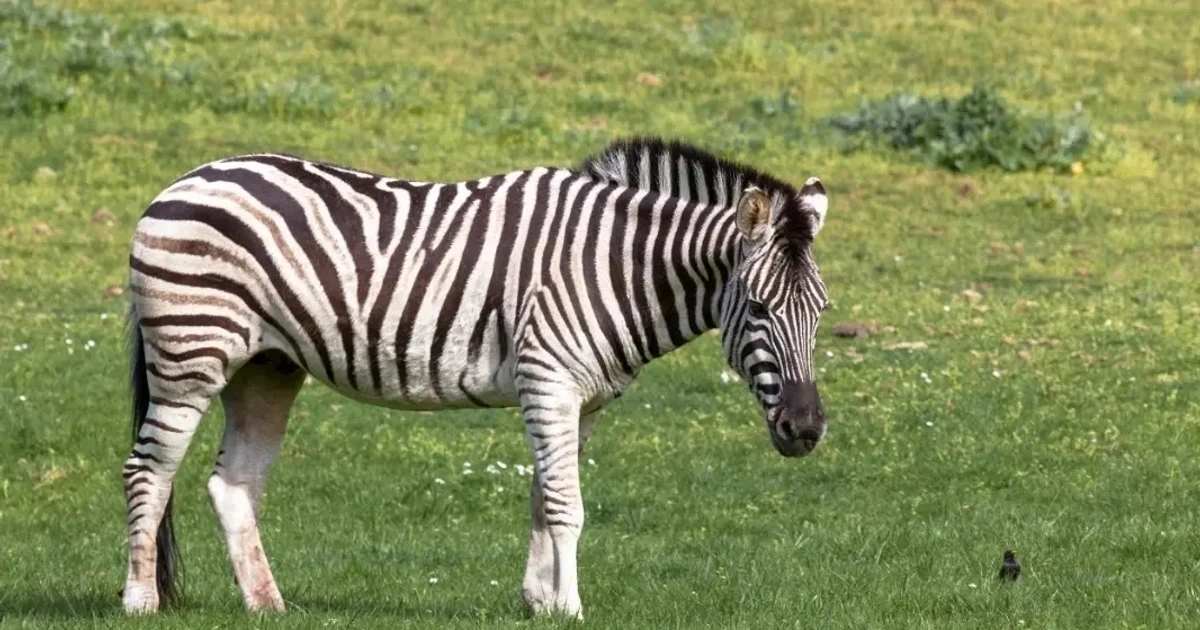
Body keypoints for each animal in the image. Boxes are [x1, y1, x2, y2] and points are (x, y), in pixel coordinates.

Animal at [121, 137, 831, 618]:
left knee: (233, 484)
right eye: (760, 309)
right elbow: (567, 504)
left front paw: (541, 603)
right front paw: (573, 609)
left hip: (267, 366)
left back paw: (268, 605)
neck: (615, 268)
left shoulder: (580, 400)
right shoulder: (550, 379)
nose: (806, 428)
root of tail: (188, 178)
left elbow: (544, 498)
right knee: (147, 470)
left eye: (822, 312)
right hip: (190, 353)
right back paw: (140, 600)